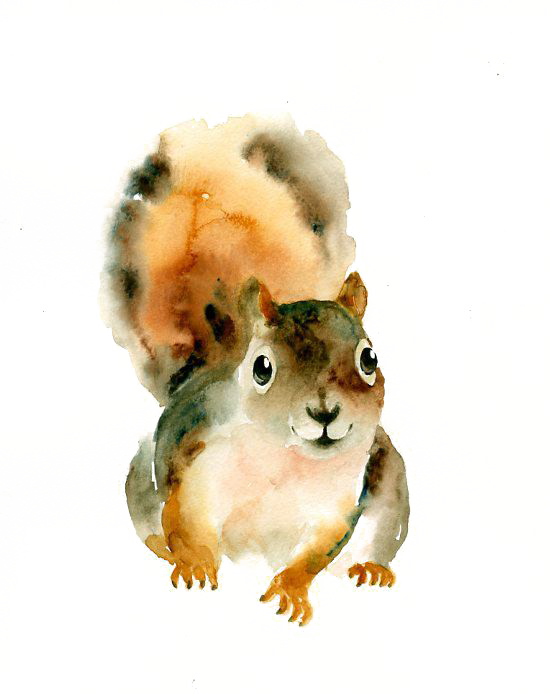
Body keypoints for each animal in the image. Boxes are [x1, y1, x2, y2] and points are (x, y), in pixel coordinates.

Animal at [104, 113, 409, 626]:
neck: (285, 464)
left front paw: (291, 589)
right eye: (262, 367)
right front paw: (194, 565)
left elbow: (316, 552)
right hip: (141, 481)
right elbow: (183, 523)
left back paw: (372, 569)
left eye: (370, 360)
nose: (324, 413)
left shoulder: (336, 507)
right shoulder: (196, 470)